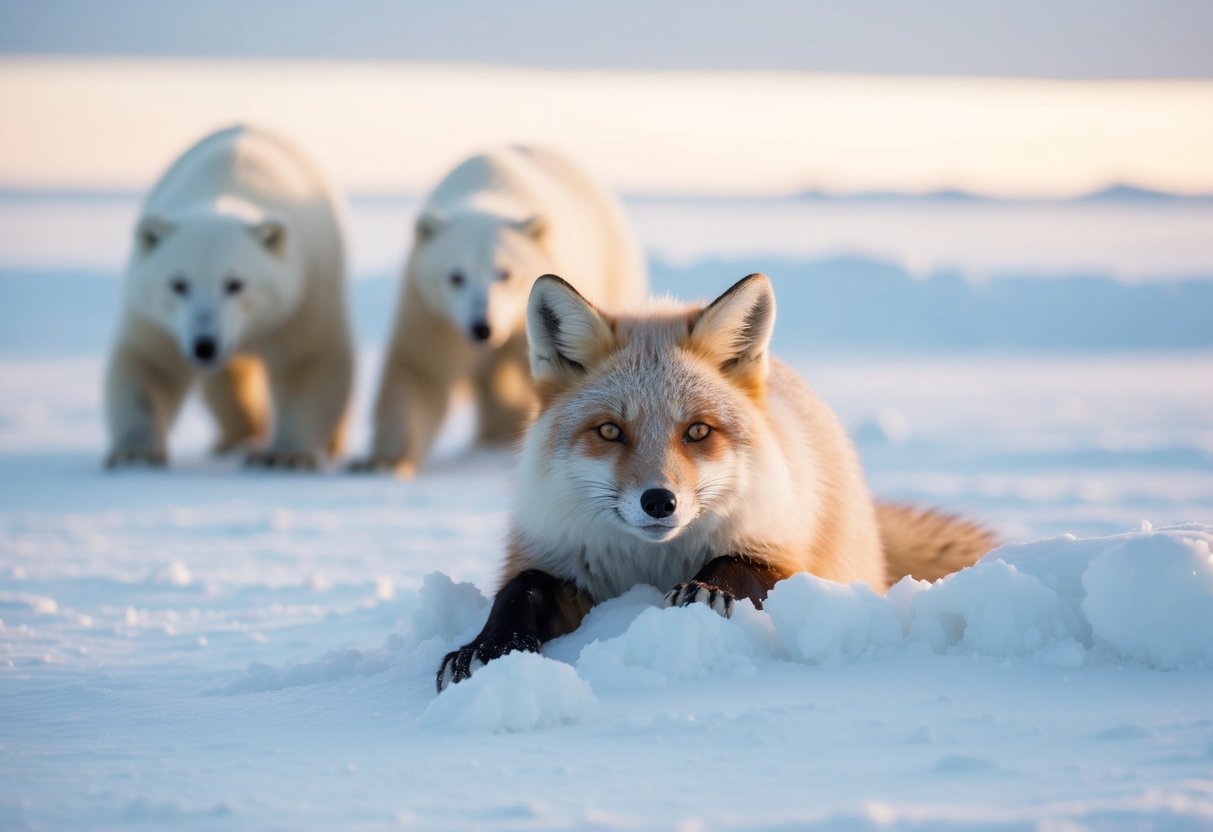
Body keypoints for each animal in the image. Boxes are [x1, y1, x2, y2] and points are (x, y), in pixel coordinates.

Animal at [437, 273, 996, 690]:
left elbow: (737, 564)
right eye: (611, 431)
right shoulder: (557, 561)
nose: (659, 501)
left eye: (698, 431)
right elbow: (522, 589)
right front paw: (487, 646)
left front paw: (706, 589)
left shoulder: (793, 560)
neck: (653, 562)